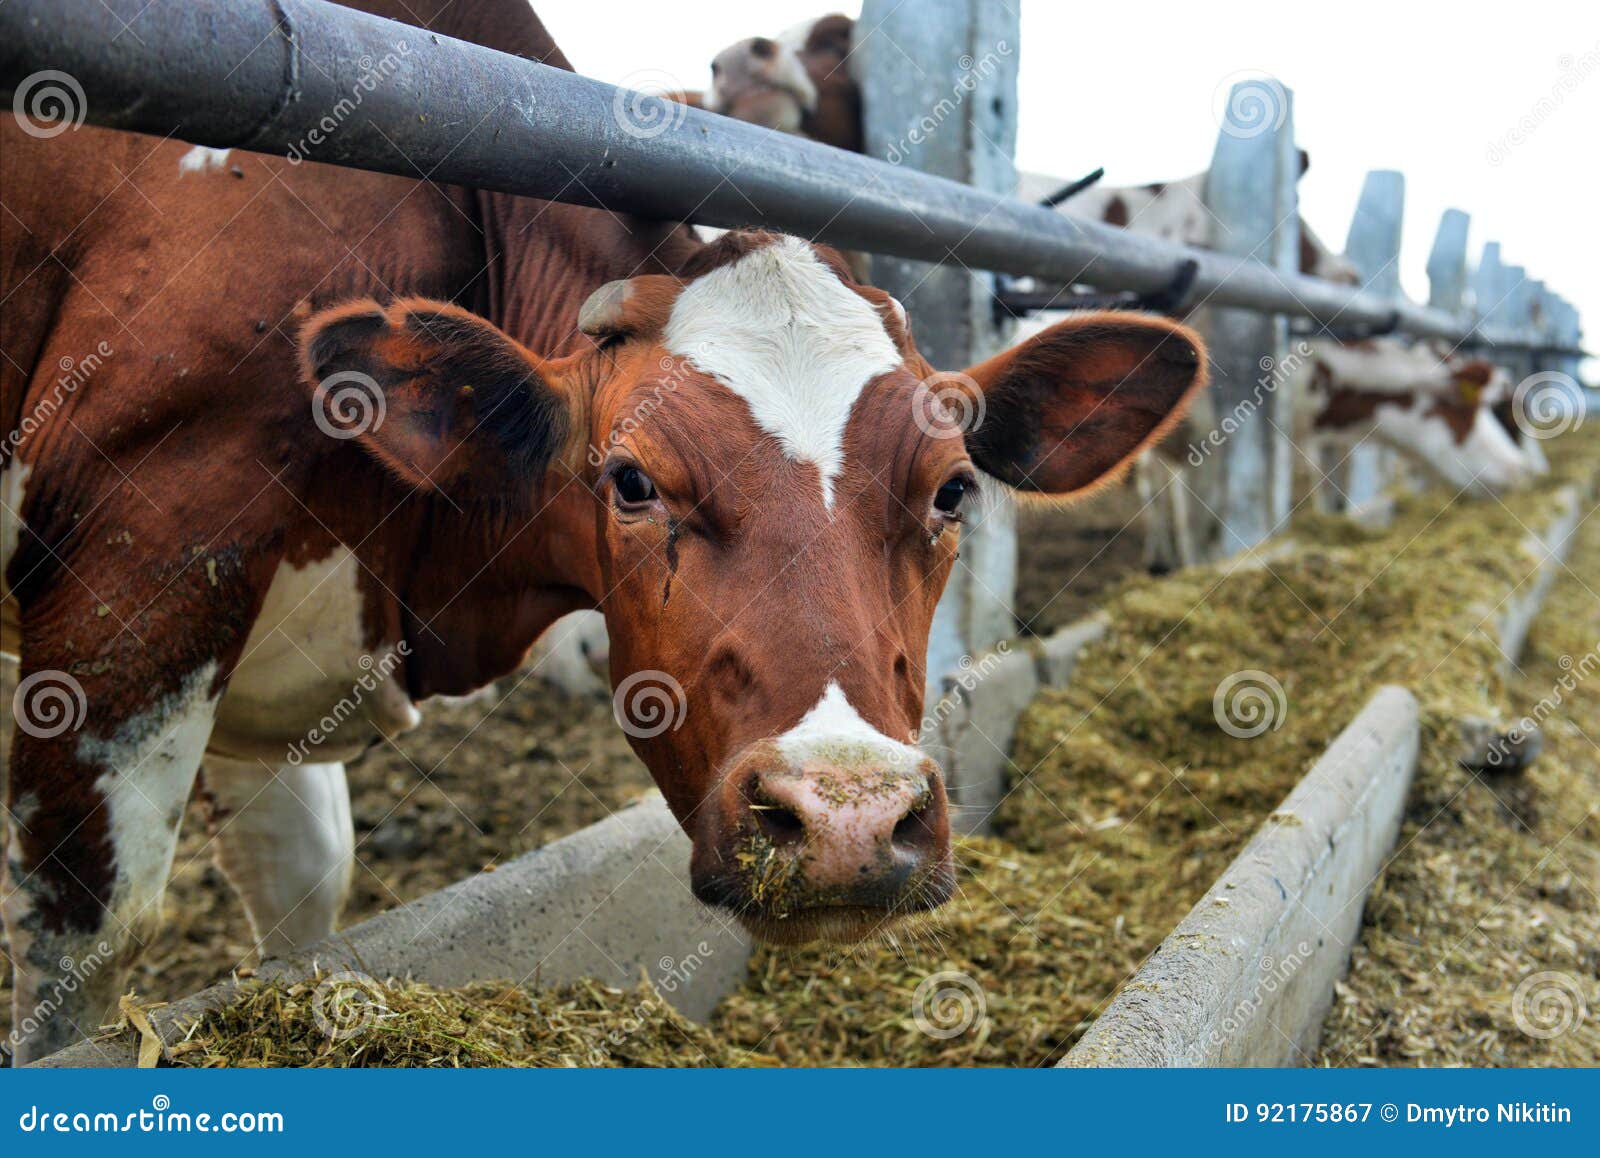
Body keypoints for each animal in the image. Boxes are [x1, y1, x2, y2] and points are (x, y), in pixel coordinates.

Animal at [0, 0, 1207, 1062]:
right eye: (631, 482)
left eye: (953, 490)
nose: (849, 822)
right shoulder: (147, 565)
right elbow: (95, 943)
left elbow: (305, 888)